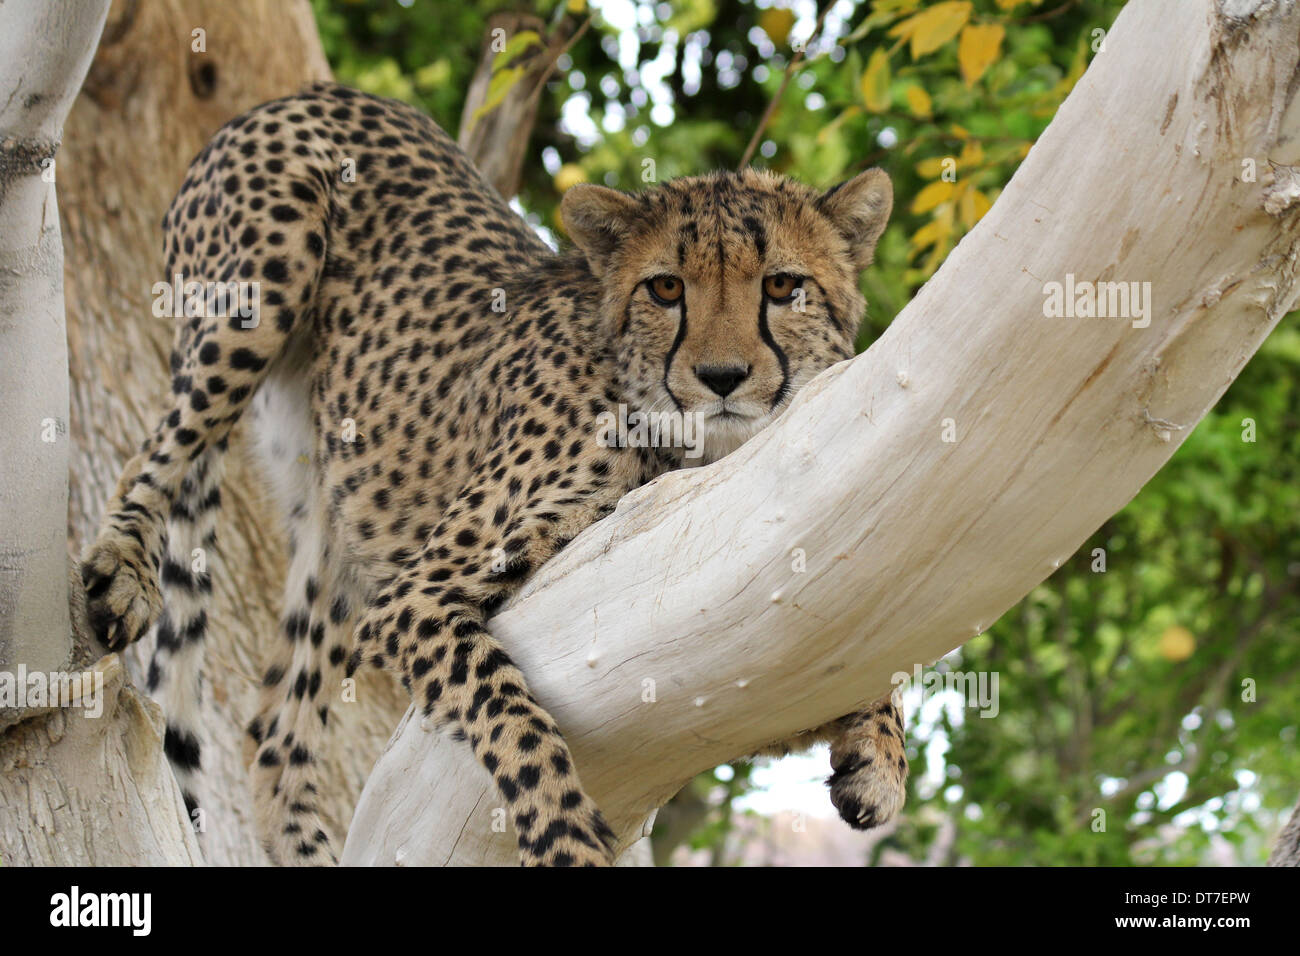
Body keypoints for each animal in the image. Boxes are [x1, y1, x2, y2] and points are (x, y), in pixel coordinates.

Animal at [80, 81, 907, 866]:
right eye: (667, 288)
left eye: (783, 287)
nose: (723, 377)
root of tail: (308, 94)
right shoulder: (416, 596)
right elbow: (511, 712)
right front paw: (564, 837)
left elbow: (843, 662)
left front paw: (882, 751)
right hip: (255, 299)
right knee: (153, 454)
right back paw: (121, 572)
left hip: (340, 513)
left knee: (277, 734)